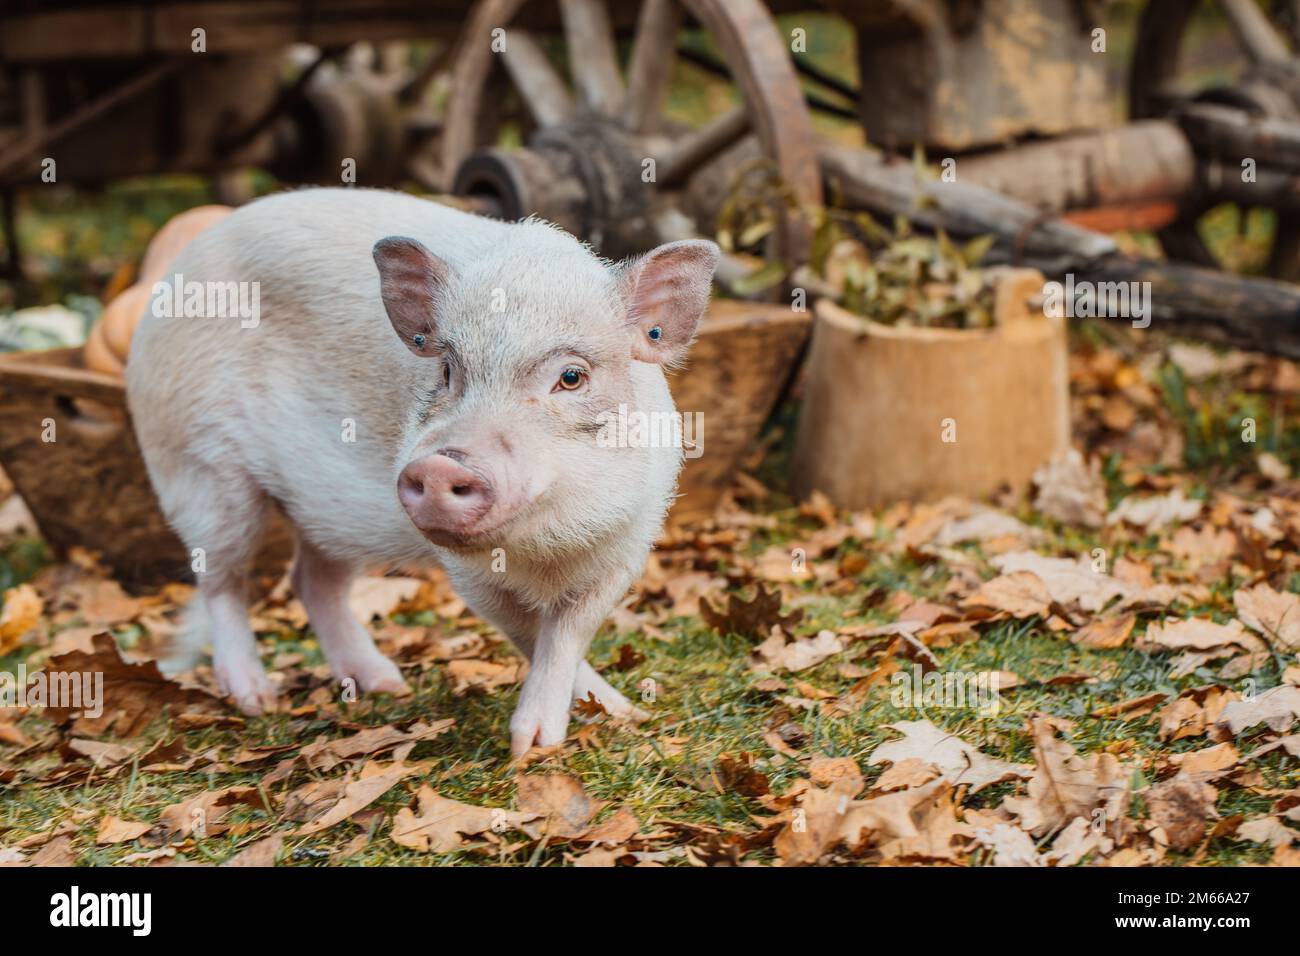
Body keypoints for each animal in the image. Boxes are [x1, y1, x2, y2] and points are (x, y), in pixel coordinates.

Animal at [126, 187, 719, 756]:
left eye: (571, 377)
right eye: (448, 370)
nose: (438, 464)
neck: (545, 547)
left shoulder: (630, 542)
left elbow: (568, 632)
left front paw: (621, 715)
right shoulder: (469, 576)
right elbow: (530, 632)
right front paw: (531, 748)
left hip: (320, 510)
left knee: (312, 581)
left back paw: (386, 685)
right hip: (198, 468)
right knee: (222, 580)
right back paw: (258, 699)